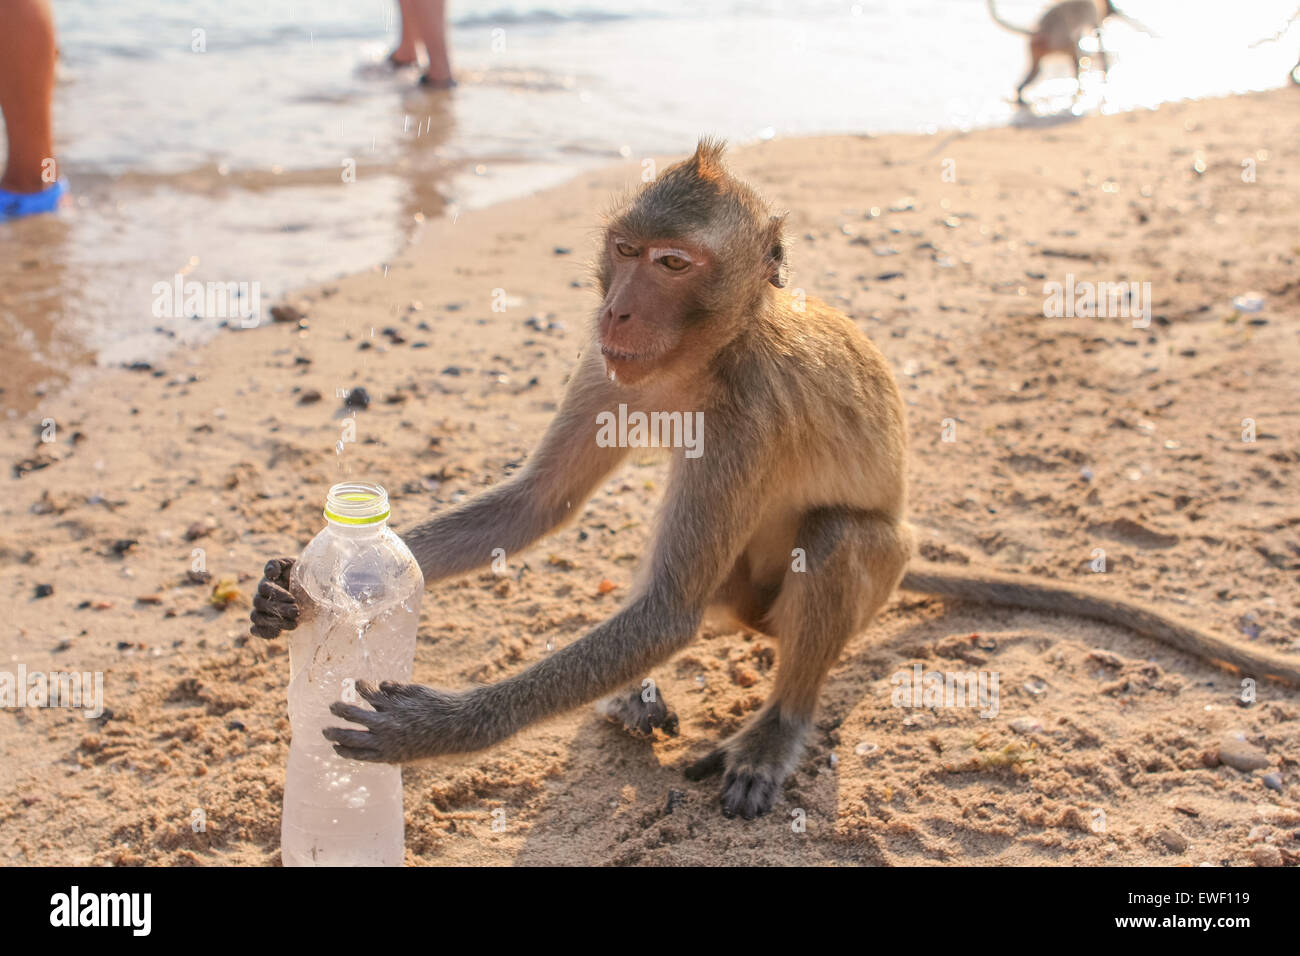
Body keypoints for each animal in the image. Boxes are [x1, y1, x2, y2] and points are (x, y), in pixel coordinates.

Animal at [251, 139, 1300, 820]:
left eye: (674, 262)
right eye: (626, 254)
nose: (621, 309)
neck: (701, 359)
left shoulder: (744, 414)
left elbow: (666, 610)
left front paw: (438, 729)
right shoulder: (604, 369)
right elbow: (535, 507)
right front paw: (292, 587)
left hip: (847, 570)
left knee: (838, 541)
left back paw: (775, 726)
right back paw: (636, 698)